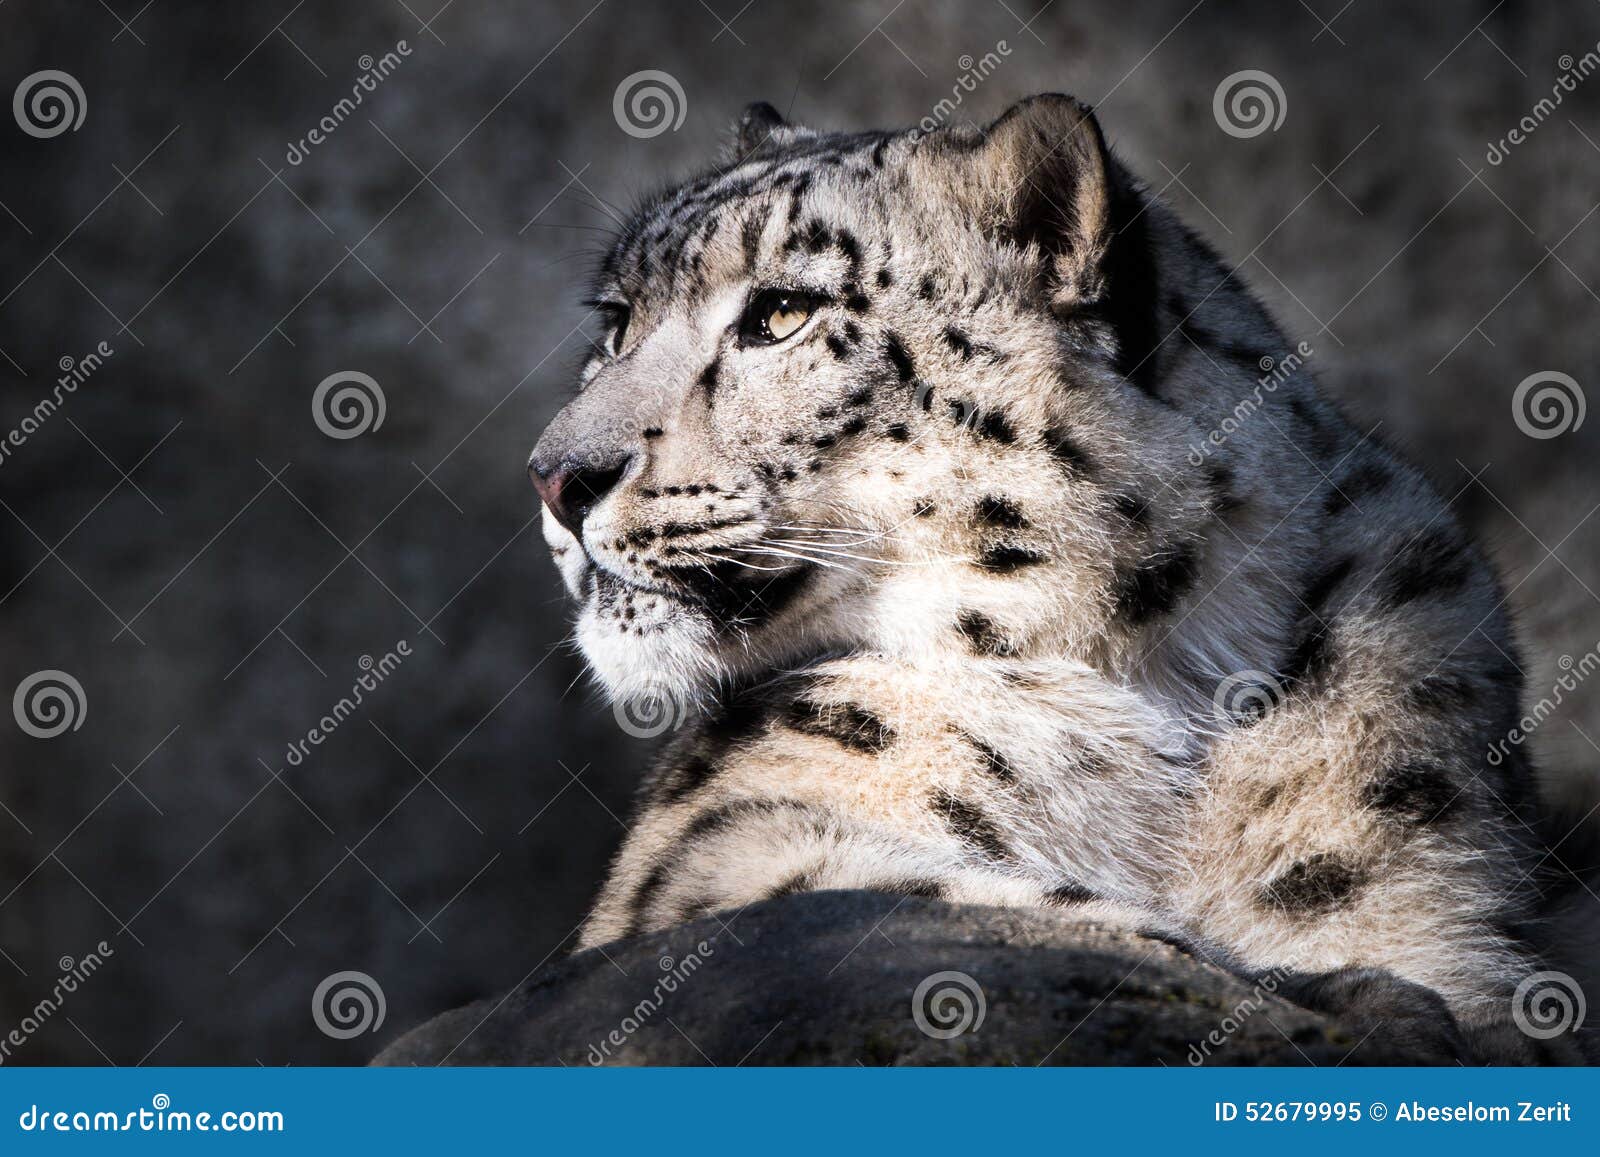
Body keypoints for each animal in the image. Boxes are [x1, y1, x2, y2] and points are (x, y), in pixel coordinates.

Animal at [526, 93, 1598, 1063]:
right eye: (616, 322)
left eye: (783, 312)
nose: (558, 476)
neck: (1171, 679)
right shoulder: (724, 852)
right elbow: (982, 906)